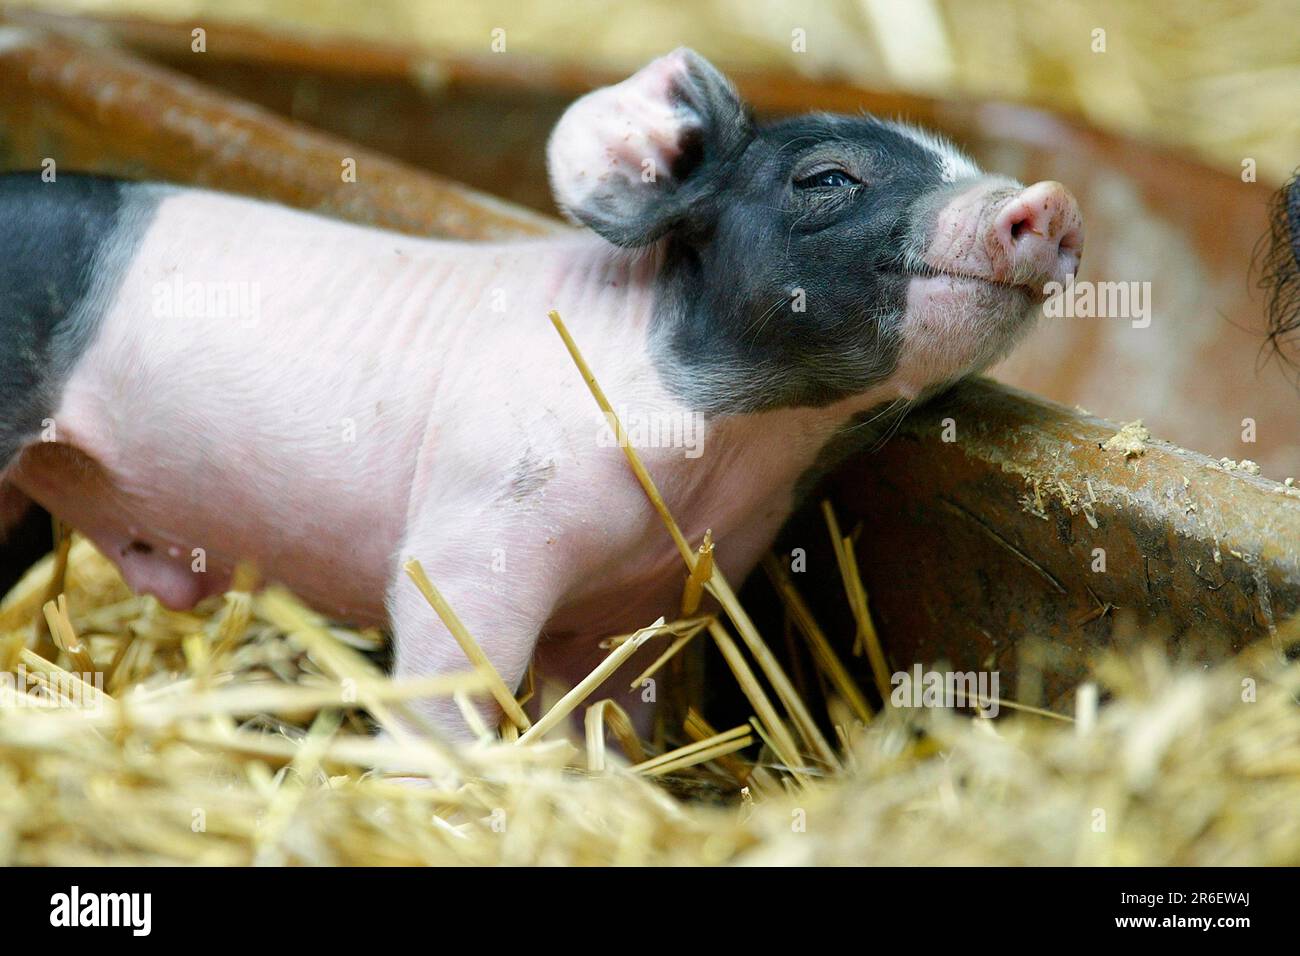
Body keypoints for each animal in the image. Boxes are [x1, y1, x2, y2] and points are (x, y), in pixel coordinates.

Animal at [0, 49, 1082, 736]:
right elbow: (451, 677)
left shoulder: (635, 602)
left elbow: (608, 708)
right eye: (826, 179)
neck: (730, 450)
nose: (1051, 200)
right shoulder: (476, 534)